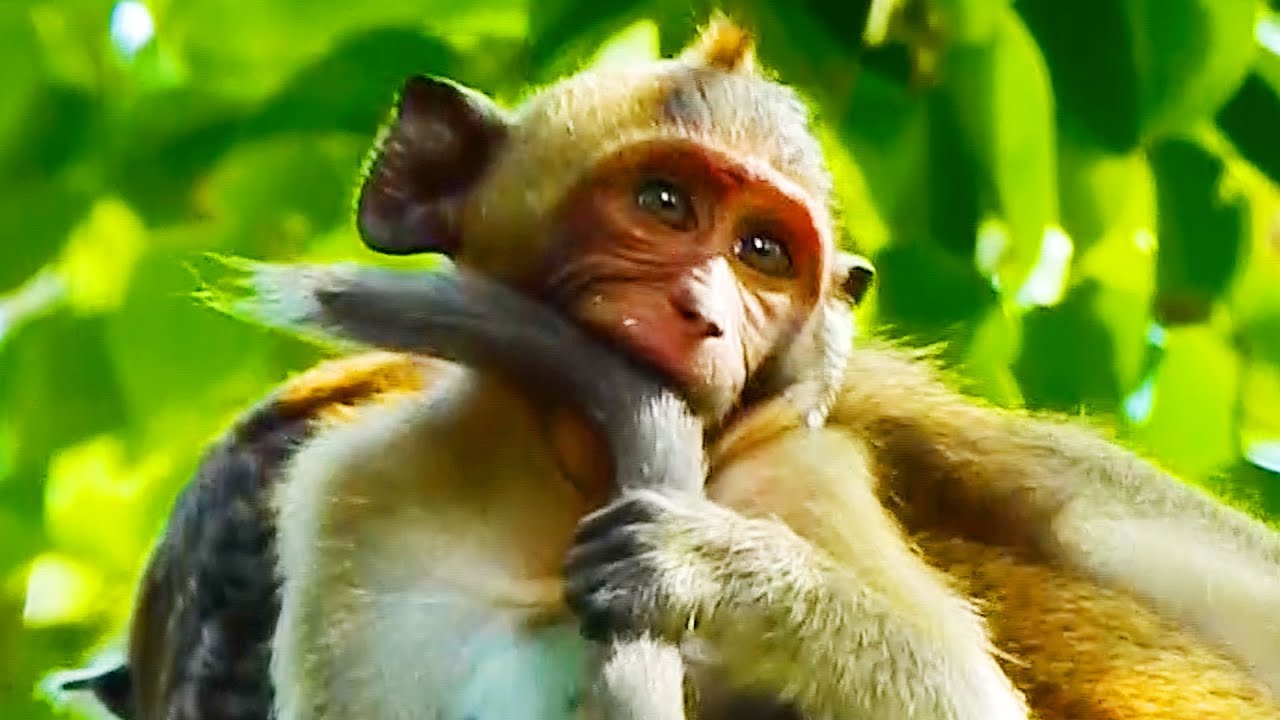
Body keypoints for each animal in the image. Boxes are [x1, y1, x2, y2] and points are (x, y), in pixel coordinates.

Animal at [56, 13, 1280, 720]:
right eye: (661, 203)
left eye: (762, 254)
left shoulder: (805, 465)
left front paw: (723, 580)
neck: (566, 484)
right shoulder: (364, 502)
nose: (699, 312)